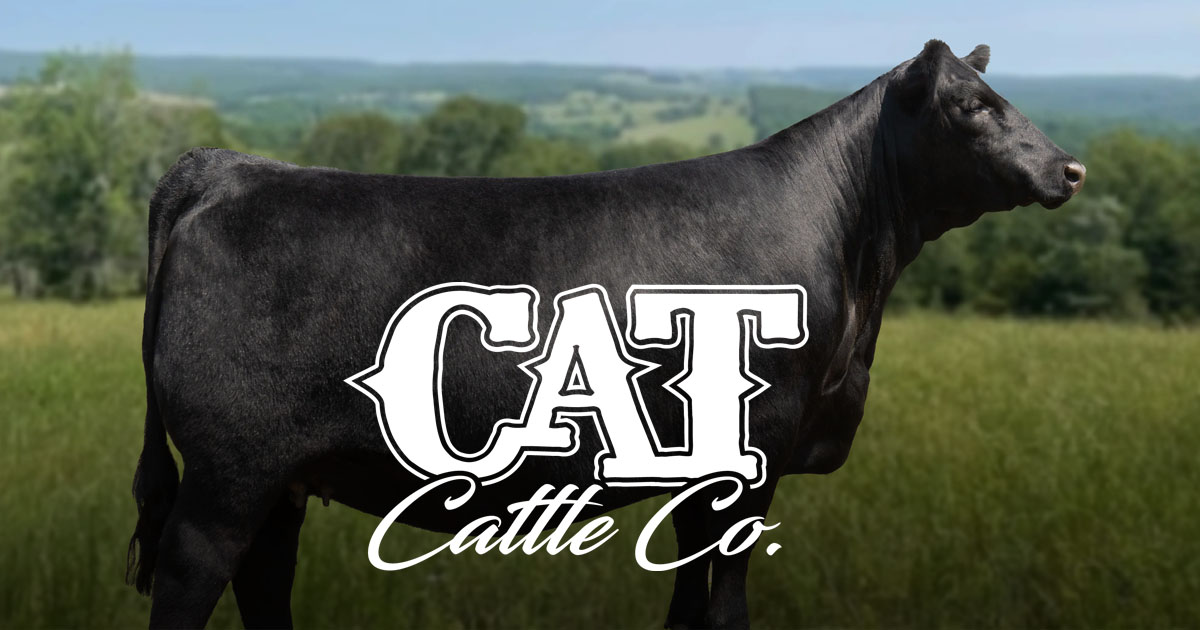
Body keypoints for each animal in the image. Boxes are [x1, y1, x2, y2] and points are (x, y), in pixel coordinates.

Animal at [127, 40, 1085, 629]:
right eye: (971, 106)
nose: (1069, 166)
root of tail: (225, 169)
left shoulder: (704, 470)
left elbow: (689, 599)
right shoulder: (755, 459)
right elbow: (726, 603)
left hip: (279, 480)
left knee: (264, 584)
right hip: (226, 477)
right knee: (191, 581)